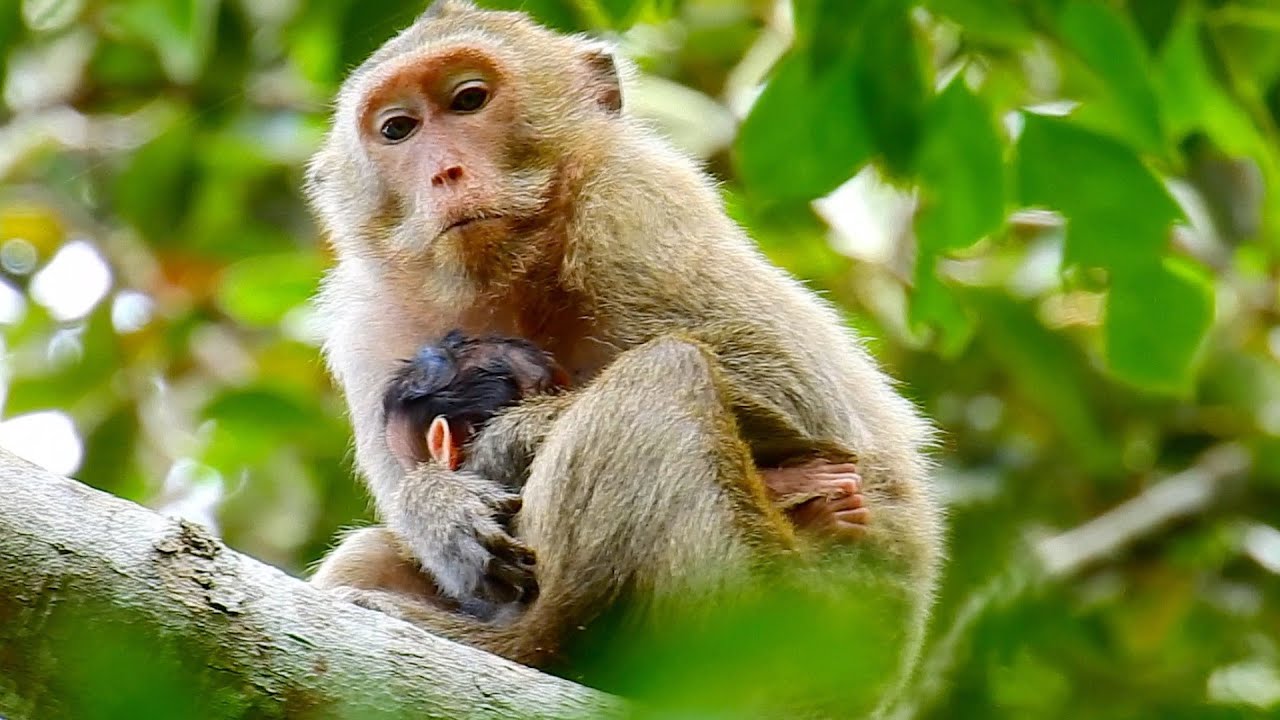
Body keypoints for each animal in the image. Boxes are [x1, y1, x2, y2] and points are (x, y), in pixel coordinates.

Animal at [305, 1, 942, 714]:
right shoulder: (367, 323)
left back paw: (531, 647)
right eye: (398, 129)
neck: (516, 278)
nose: (446, 172)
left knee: (665, 374)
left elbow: (792, 391)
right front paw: (437, 507)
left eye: (469, 100)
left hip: (776, 625)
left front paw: (506, 440)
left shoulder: (636, 202)